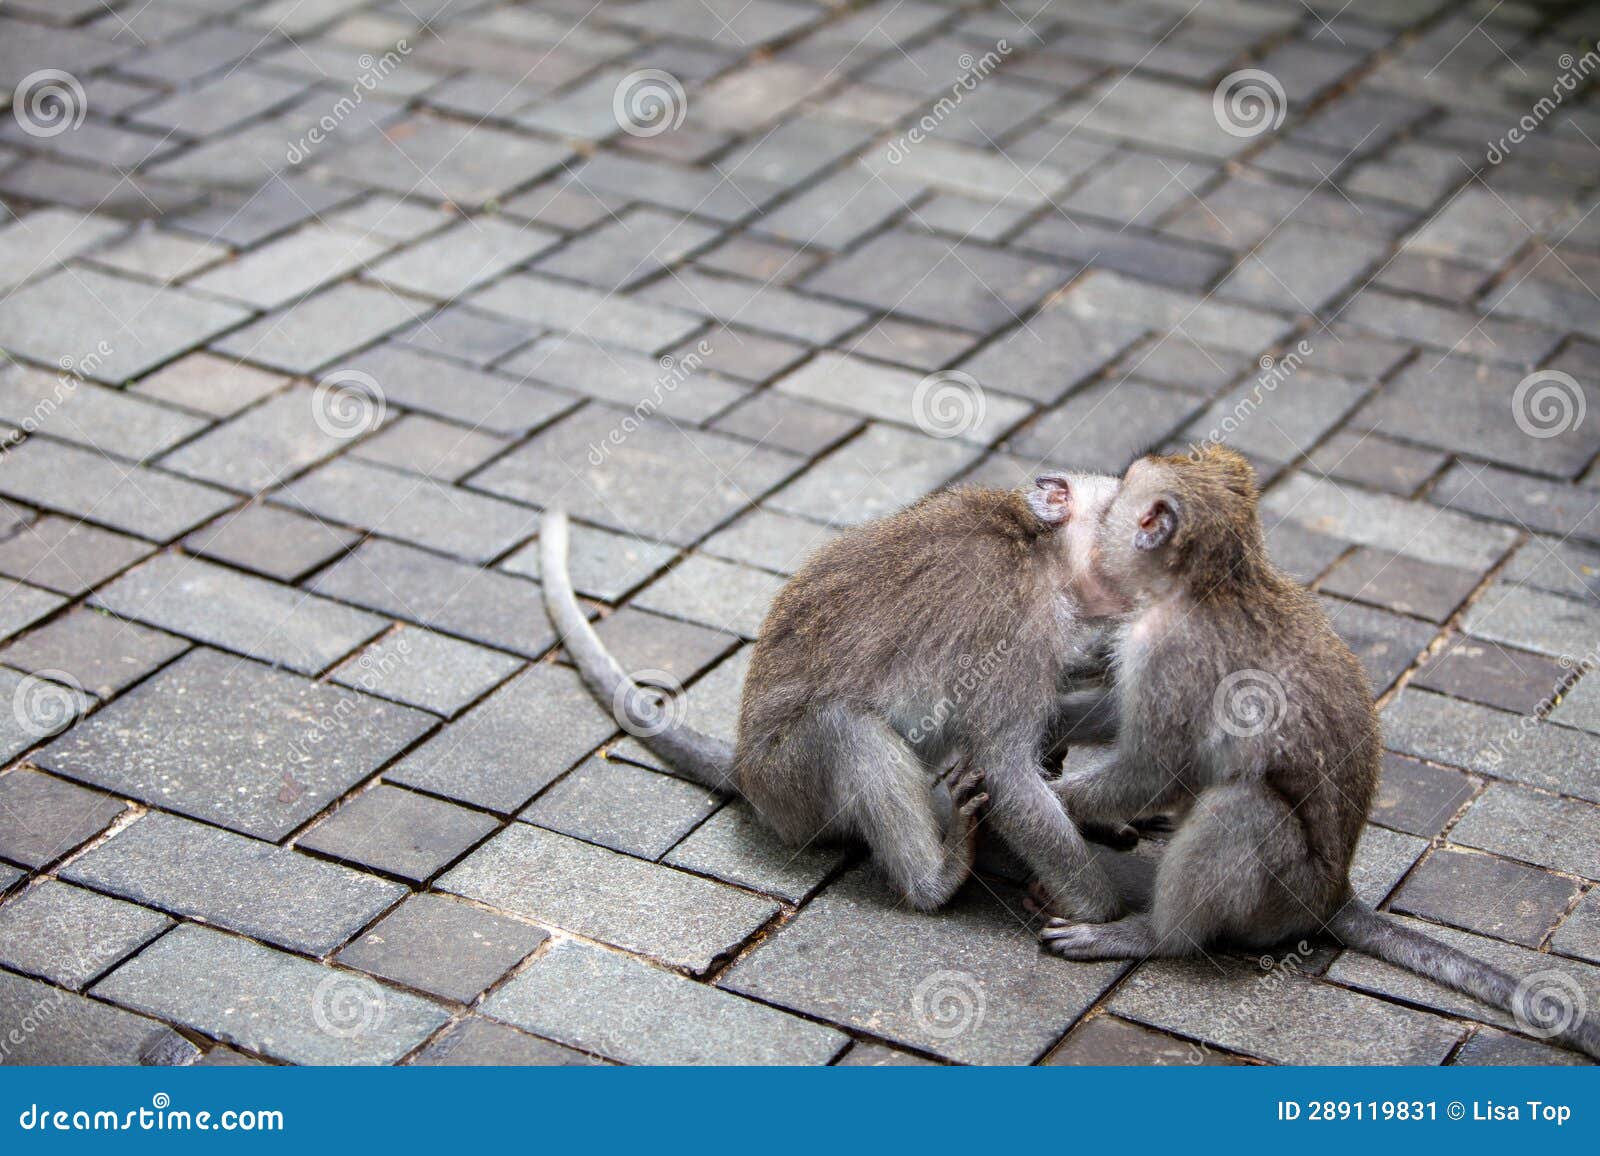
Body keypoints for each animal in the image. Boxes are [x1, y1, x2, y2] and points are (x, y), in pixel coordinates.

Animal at [540, 474, 1135, 917]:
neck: (1043, 550)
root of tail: (745, 768)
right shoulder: (1014, 624)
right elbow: (1006, 771)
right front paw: (1103, 914)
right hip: (792, 786)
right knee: (845, 727)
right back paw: (933, 882)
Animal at [1035, 444, 1600, 1060]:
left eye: (1117, 497)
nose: (1078, 500)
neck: (1205, 586)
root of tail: (1334, 894)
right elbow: (1124, 718)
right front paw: (1048, 724)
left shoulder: (1170, 654)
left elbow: (1154, 767)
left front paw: (1046, 799)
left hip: (1283, 898)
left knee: (1245, 809)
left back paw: (1157, 935)